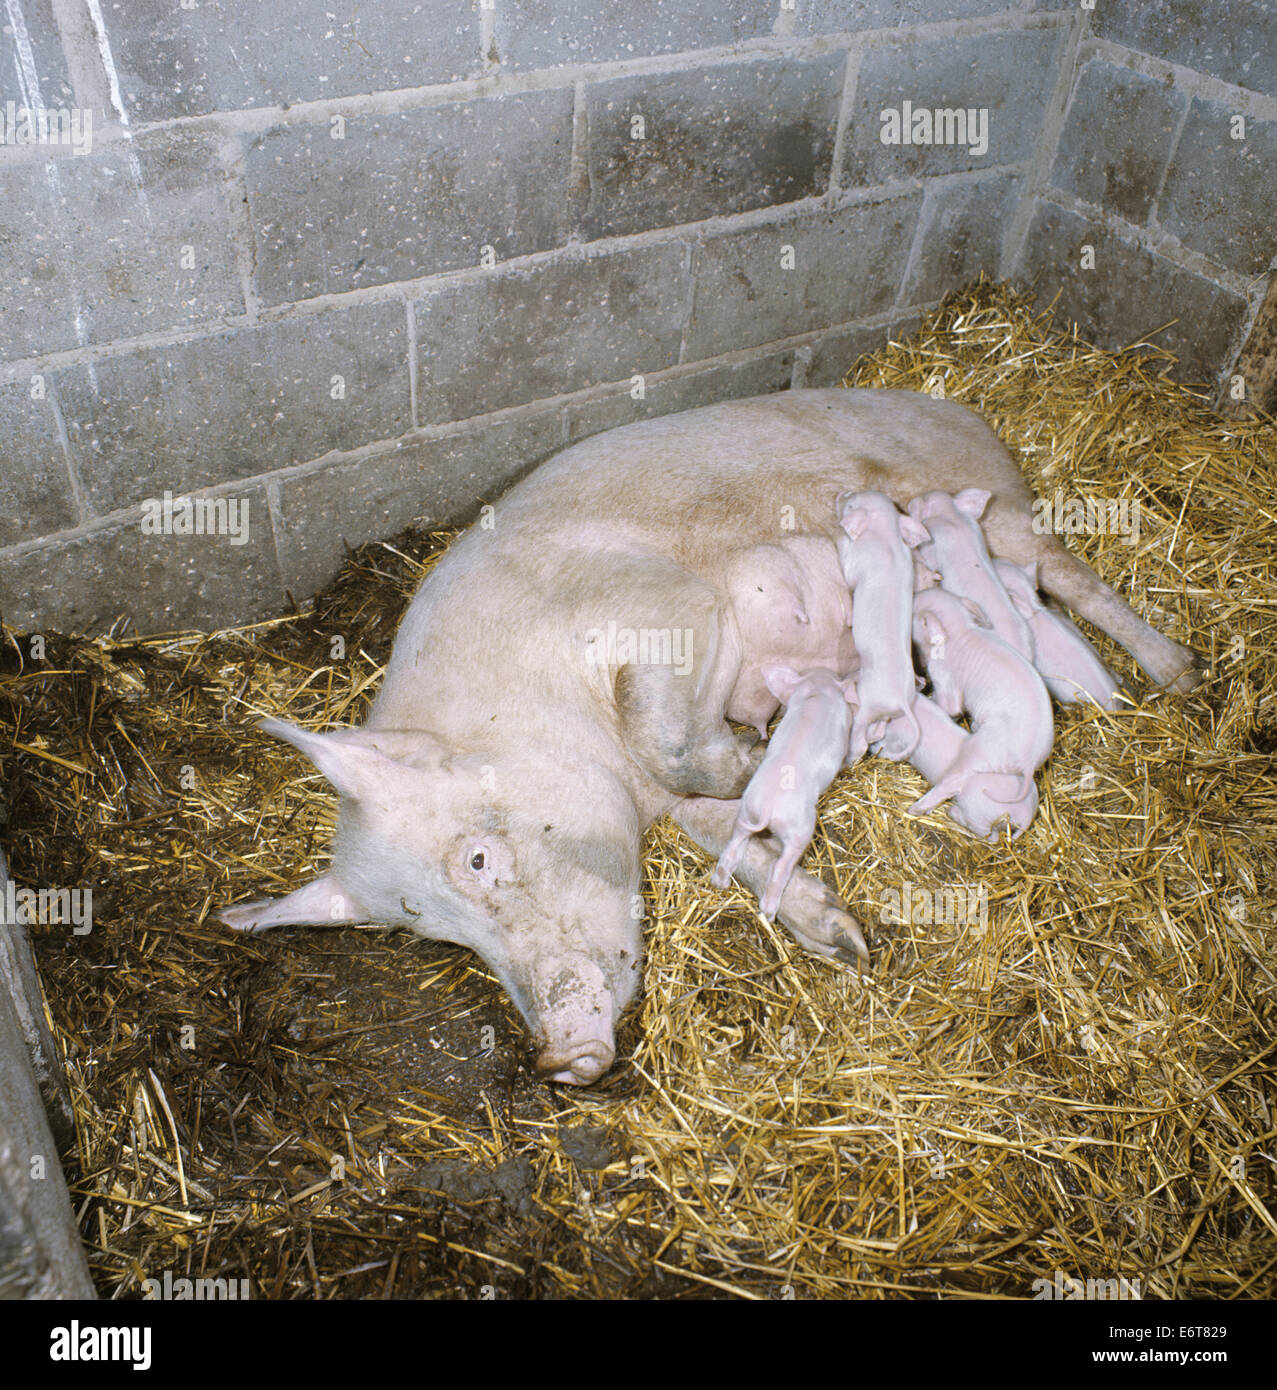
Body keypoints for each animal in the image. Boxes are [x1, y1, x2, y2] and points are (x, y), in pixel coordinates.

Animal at [711, 665, 856, 920]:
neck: (818, 692)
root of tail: (769, 808)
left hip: (747, 810)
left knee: (733, 844)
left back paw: (719, 882)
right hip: (800, 830)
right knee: (780, 866)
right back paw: (768, 912)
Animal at [836, 490, 930, 763]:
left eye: (852, 504)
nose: (840, 493)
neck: (886, 534)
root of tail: (901, 701)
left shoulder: (856, 561)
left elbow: (847, 571)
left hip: (866, 703)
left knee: (860, 736)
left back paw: (849, 758)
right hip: (887, 713)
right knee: (876, 731)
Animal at [909, 588, 1054, 816]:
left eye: (915, 608)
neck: (960, 631)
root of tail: (1028, 761)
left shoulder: (944, 677)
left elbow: (950, 707)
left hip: (981, 748)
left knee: (953, 780)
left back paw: (915, 808)